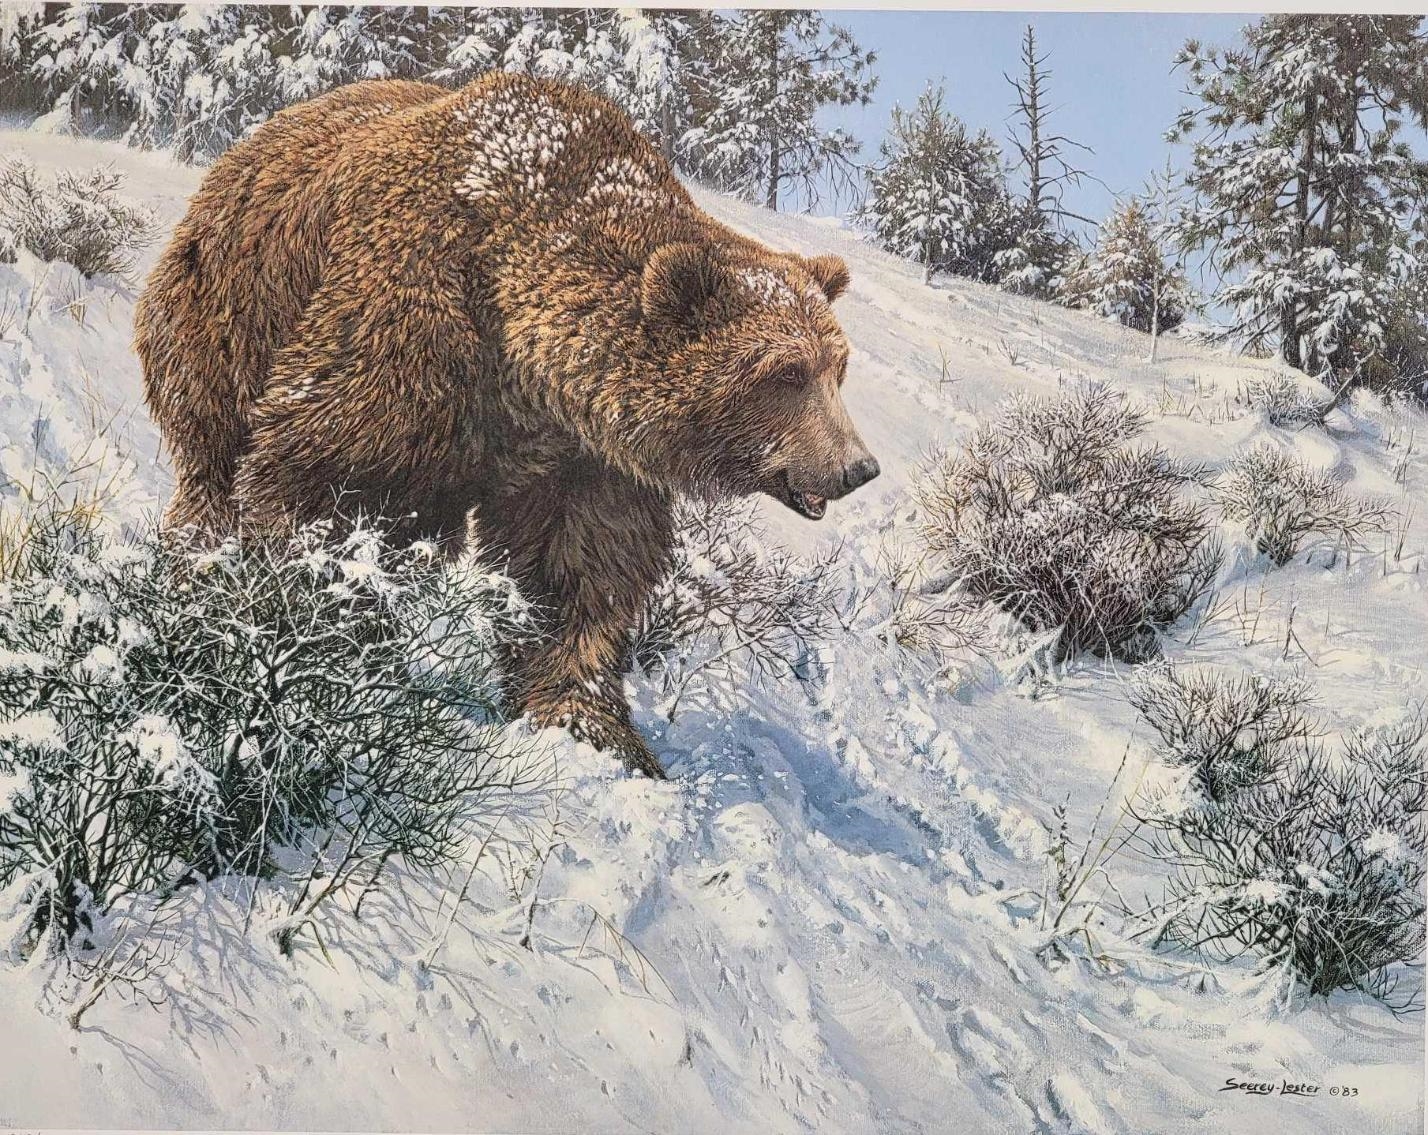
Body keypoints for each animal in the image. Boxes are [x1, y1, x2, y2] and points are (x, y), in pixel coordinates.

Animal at [134, 73, 880, 778]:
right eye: (786, 373)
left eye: (838, 367)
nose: (857, 467)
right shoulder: (409, 321)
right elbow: (326, 477)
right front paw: (316, 637)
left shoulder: (580, 452)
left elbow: (577, 567)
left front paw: (587, 718)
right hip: (229, 310)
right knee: (214, 463)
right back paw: (197, 575)